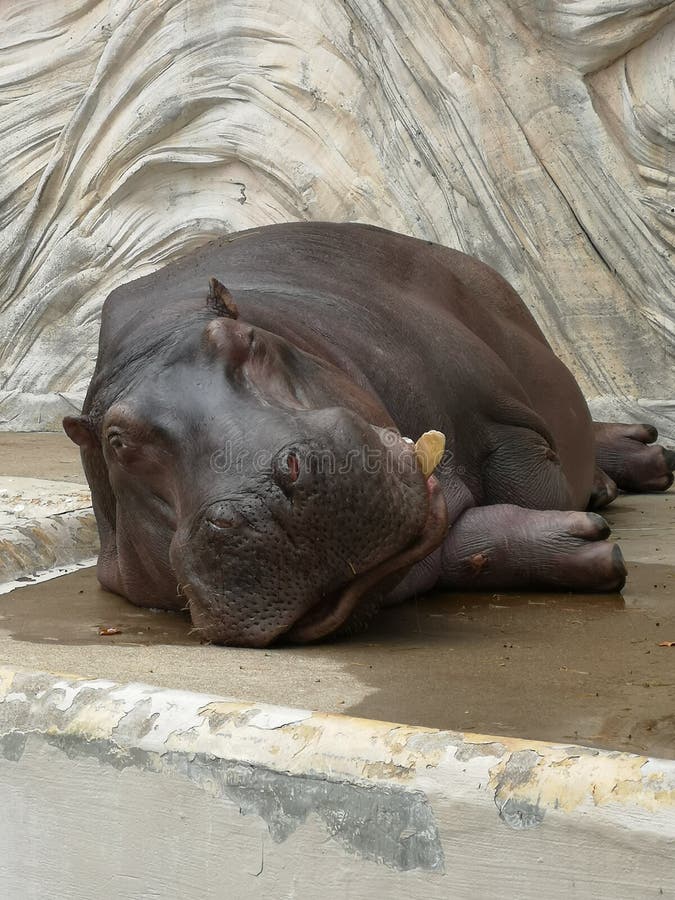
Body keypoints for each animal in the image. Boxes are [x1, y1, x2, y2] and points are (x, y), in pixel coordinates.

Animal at [64, 223, 675, 647]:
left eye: (246, 339)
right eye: (117, 442)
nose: (267, 494)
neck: (150, 344)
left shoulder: (510, 431)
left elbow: (524, 489)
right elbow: (448, 540)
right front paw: (585, 547)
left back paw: (643, 458)